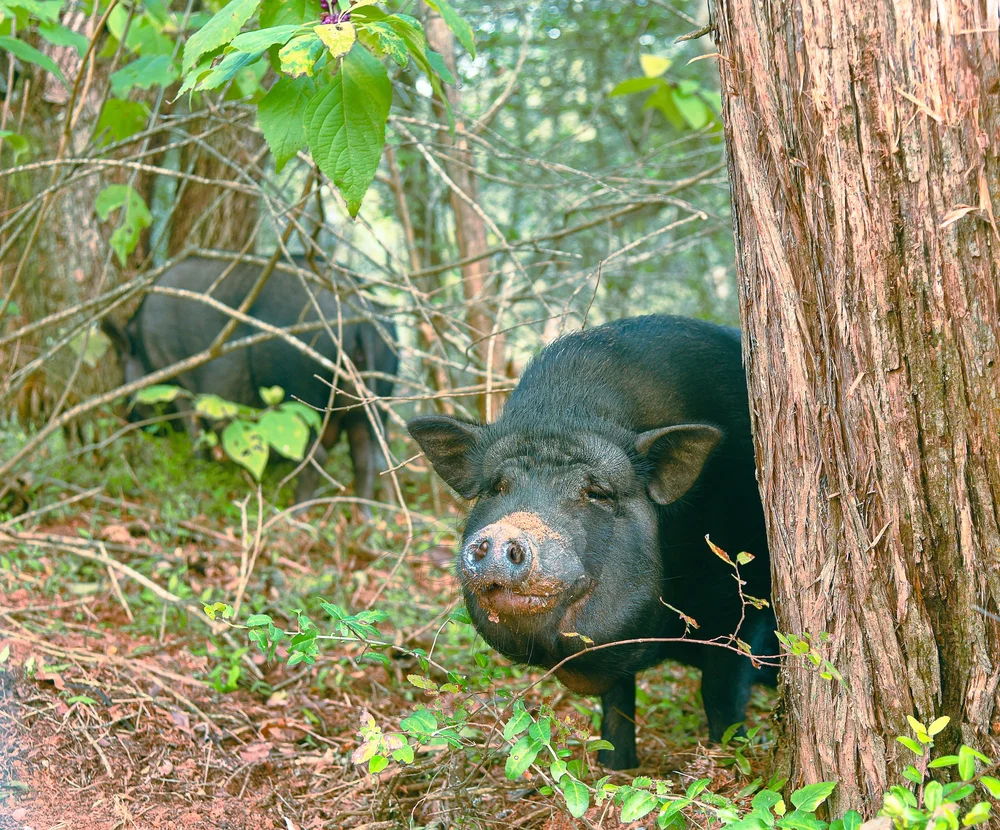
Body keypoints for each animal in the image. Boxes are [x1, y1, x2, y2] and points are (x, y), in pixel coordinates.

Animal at [102, 256, 398, 508]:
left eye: (123, 374)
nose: (129, 420)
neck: (141, 345)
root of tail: (361, 318)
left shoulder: (175, 375)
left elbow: (194, 427)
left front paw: (198, 468)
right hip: (374, 391)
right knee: (368, 458)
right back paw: (368, 517)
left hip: (302, 392)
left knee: (319, 457)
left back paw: (294, 513)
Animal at [406, 315, 776, 769]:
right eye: (498, 487)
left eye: (597, 492)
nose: (505, 531)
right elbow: (617, 701)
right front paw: (616, 767)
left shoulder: (742, 608)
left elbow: (721, 695)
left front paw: (728, 758)